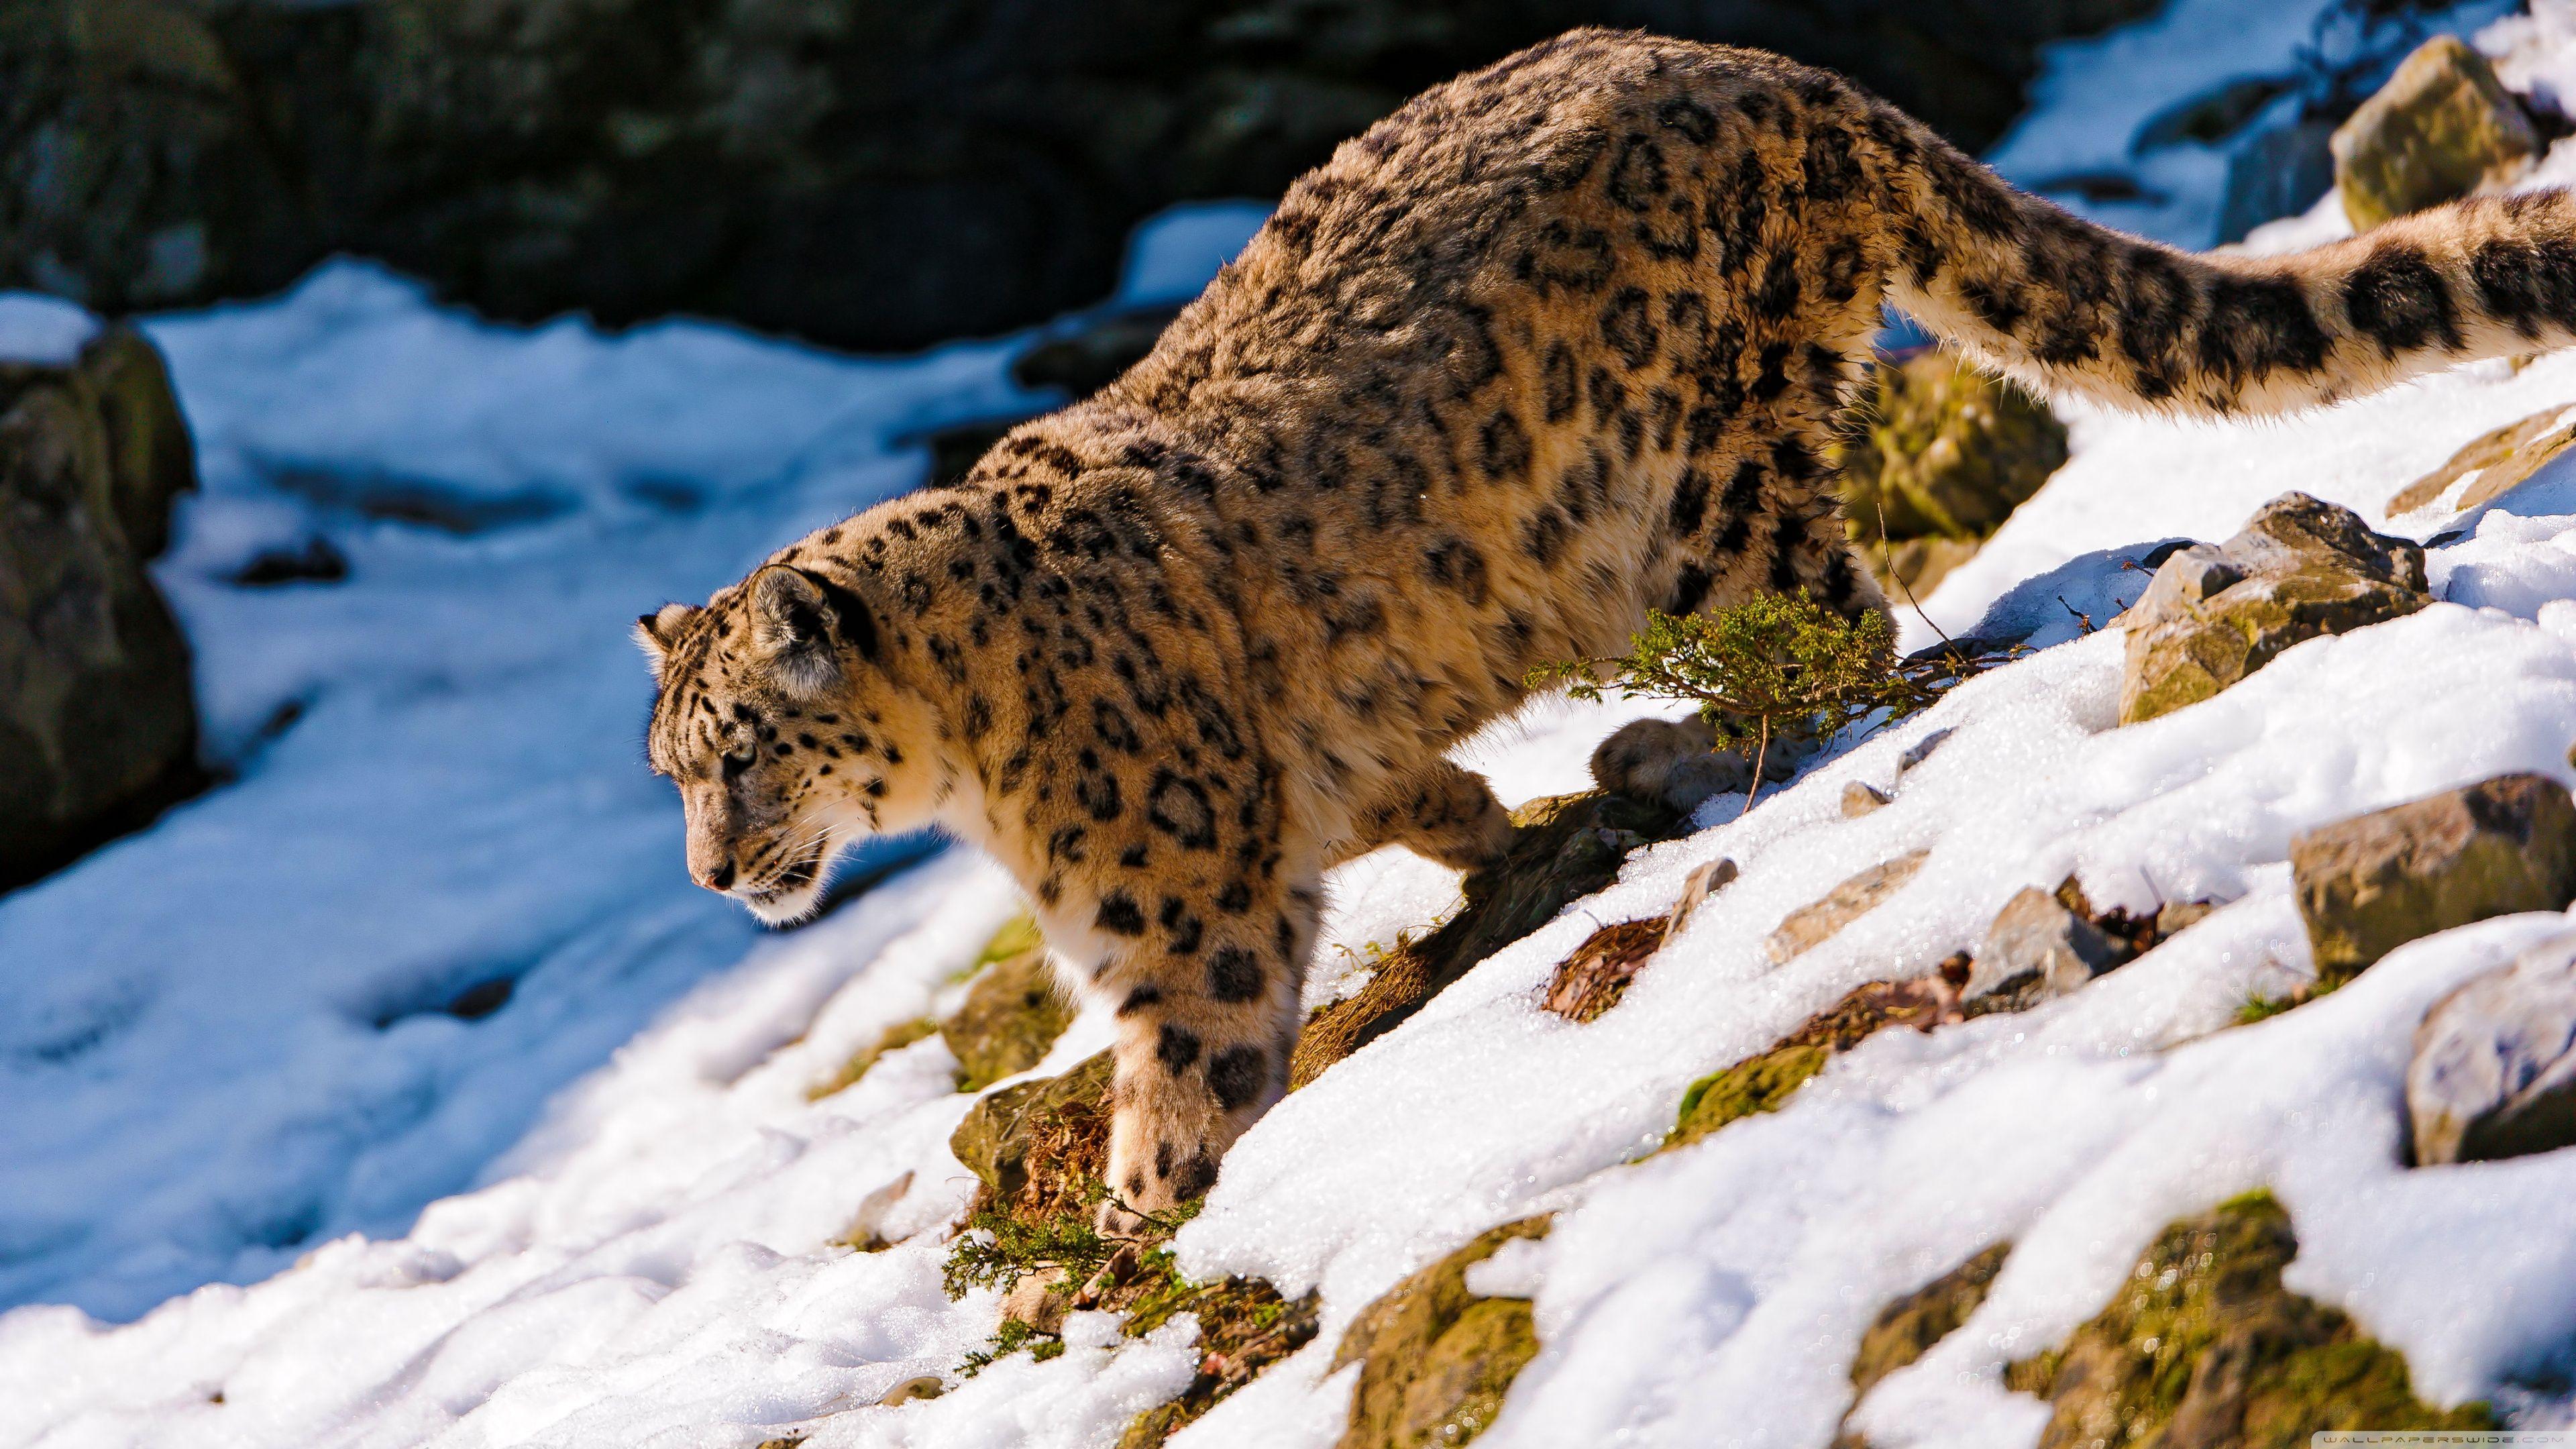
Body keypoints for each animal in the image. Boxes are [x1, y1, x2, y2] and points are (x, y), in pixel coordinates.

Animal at [639, 27, 2576, 1228]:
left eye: (744, 755)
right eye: (670, 771)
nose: (713, 876)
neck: (972, 769)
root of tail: (1779, 72)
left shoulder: (1175, 913)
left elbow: (1188, 1069)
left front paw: (1139, 1227)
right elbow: (1390, 787)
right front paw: (1466, 820)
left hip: (1707, 487)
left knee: (1836, 631)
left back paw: (1670, 742)